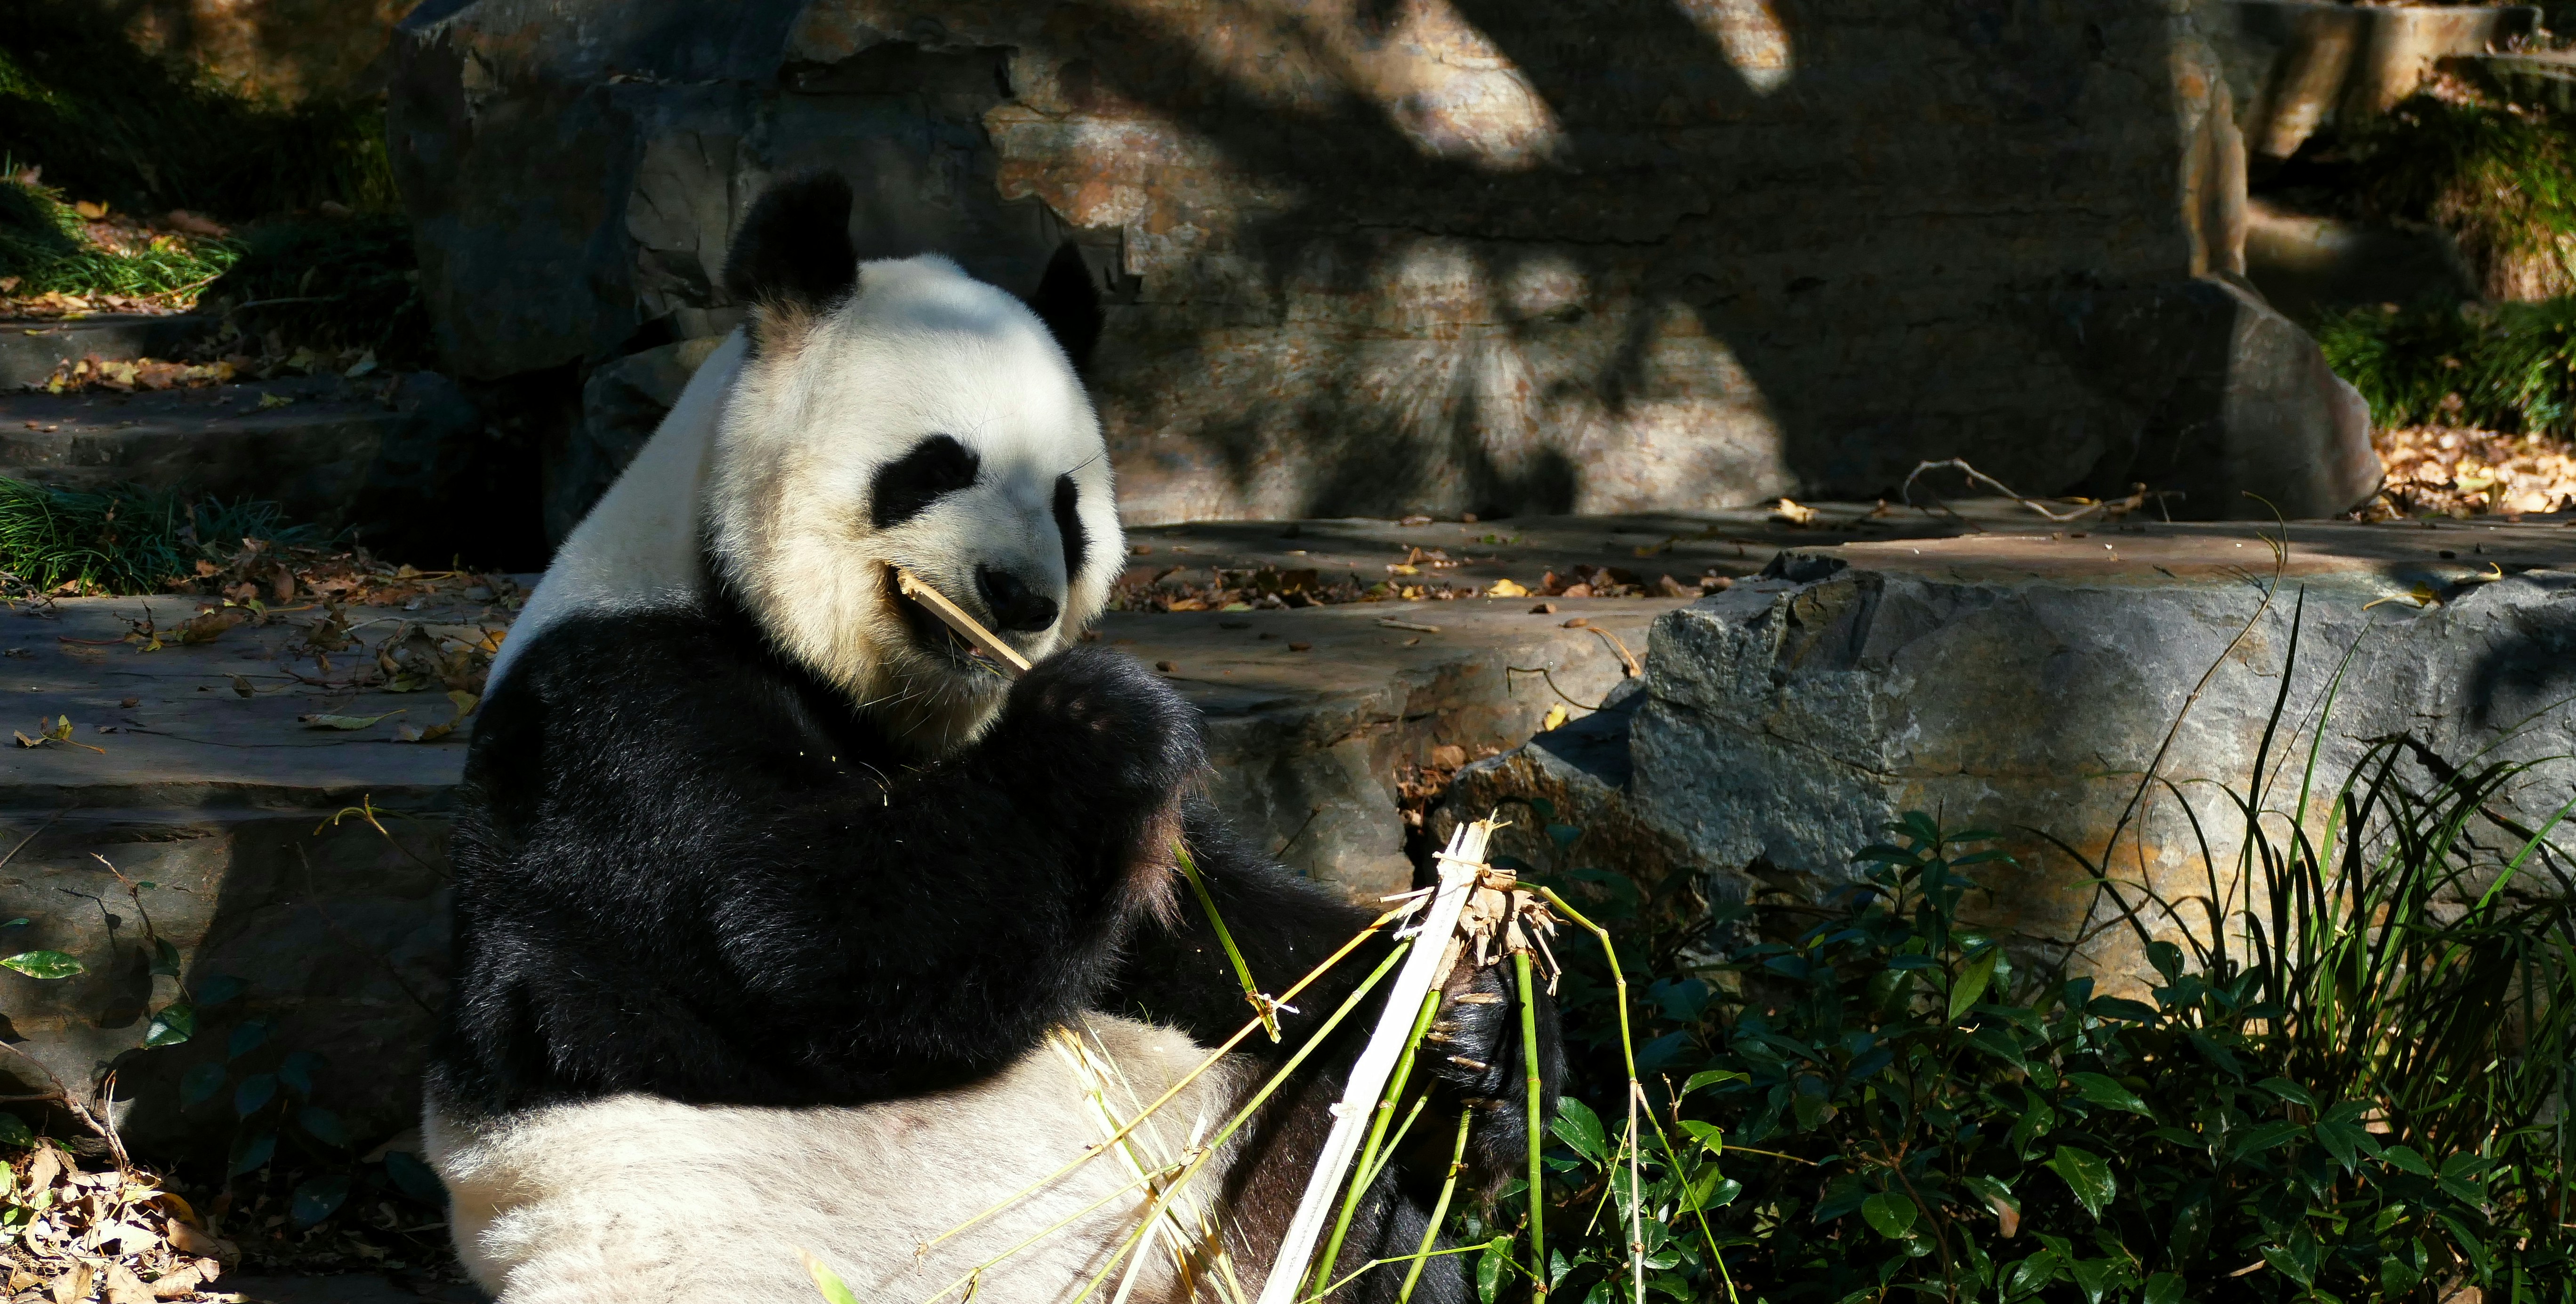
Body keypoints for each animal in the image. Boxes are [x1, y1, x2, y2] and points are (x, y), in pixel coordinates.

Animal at [425, 172, 1561, 1304]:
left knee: (1344, 1184)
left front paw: (1474, 1018)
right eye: (935, 467)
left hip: (1221, 1181)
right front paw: (1106, 720)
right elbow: (801, 939)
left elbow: (1229, 949)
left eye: (1068, 506)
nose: (1017, 597)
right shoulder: (619, 714)